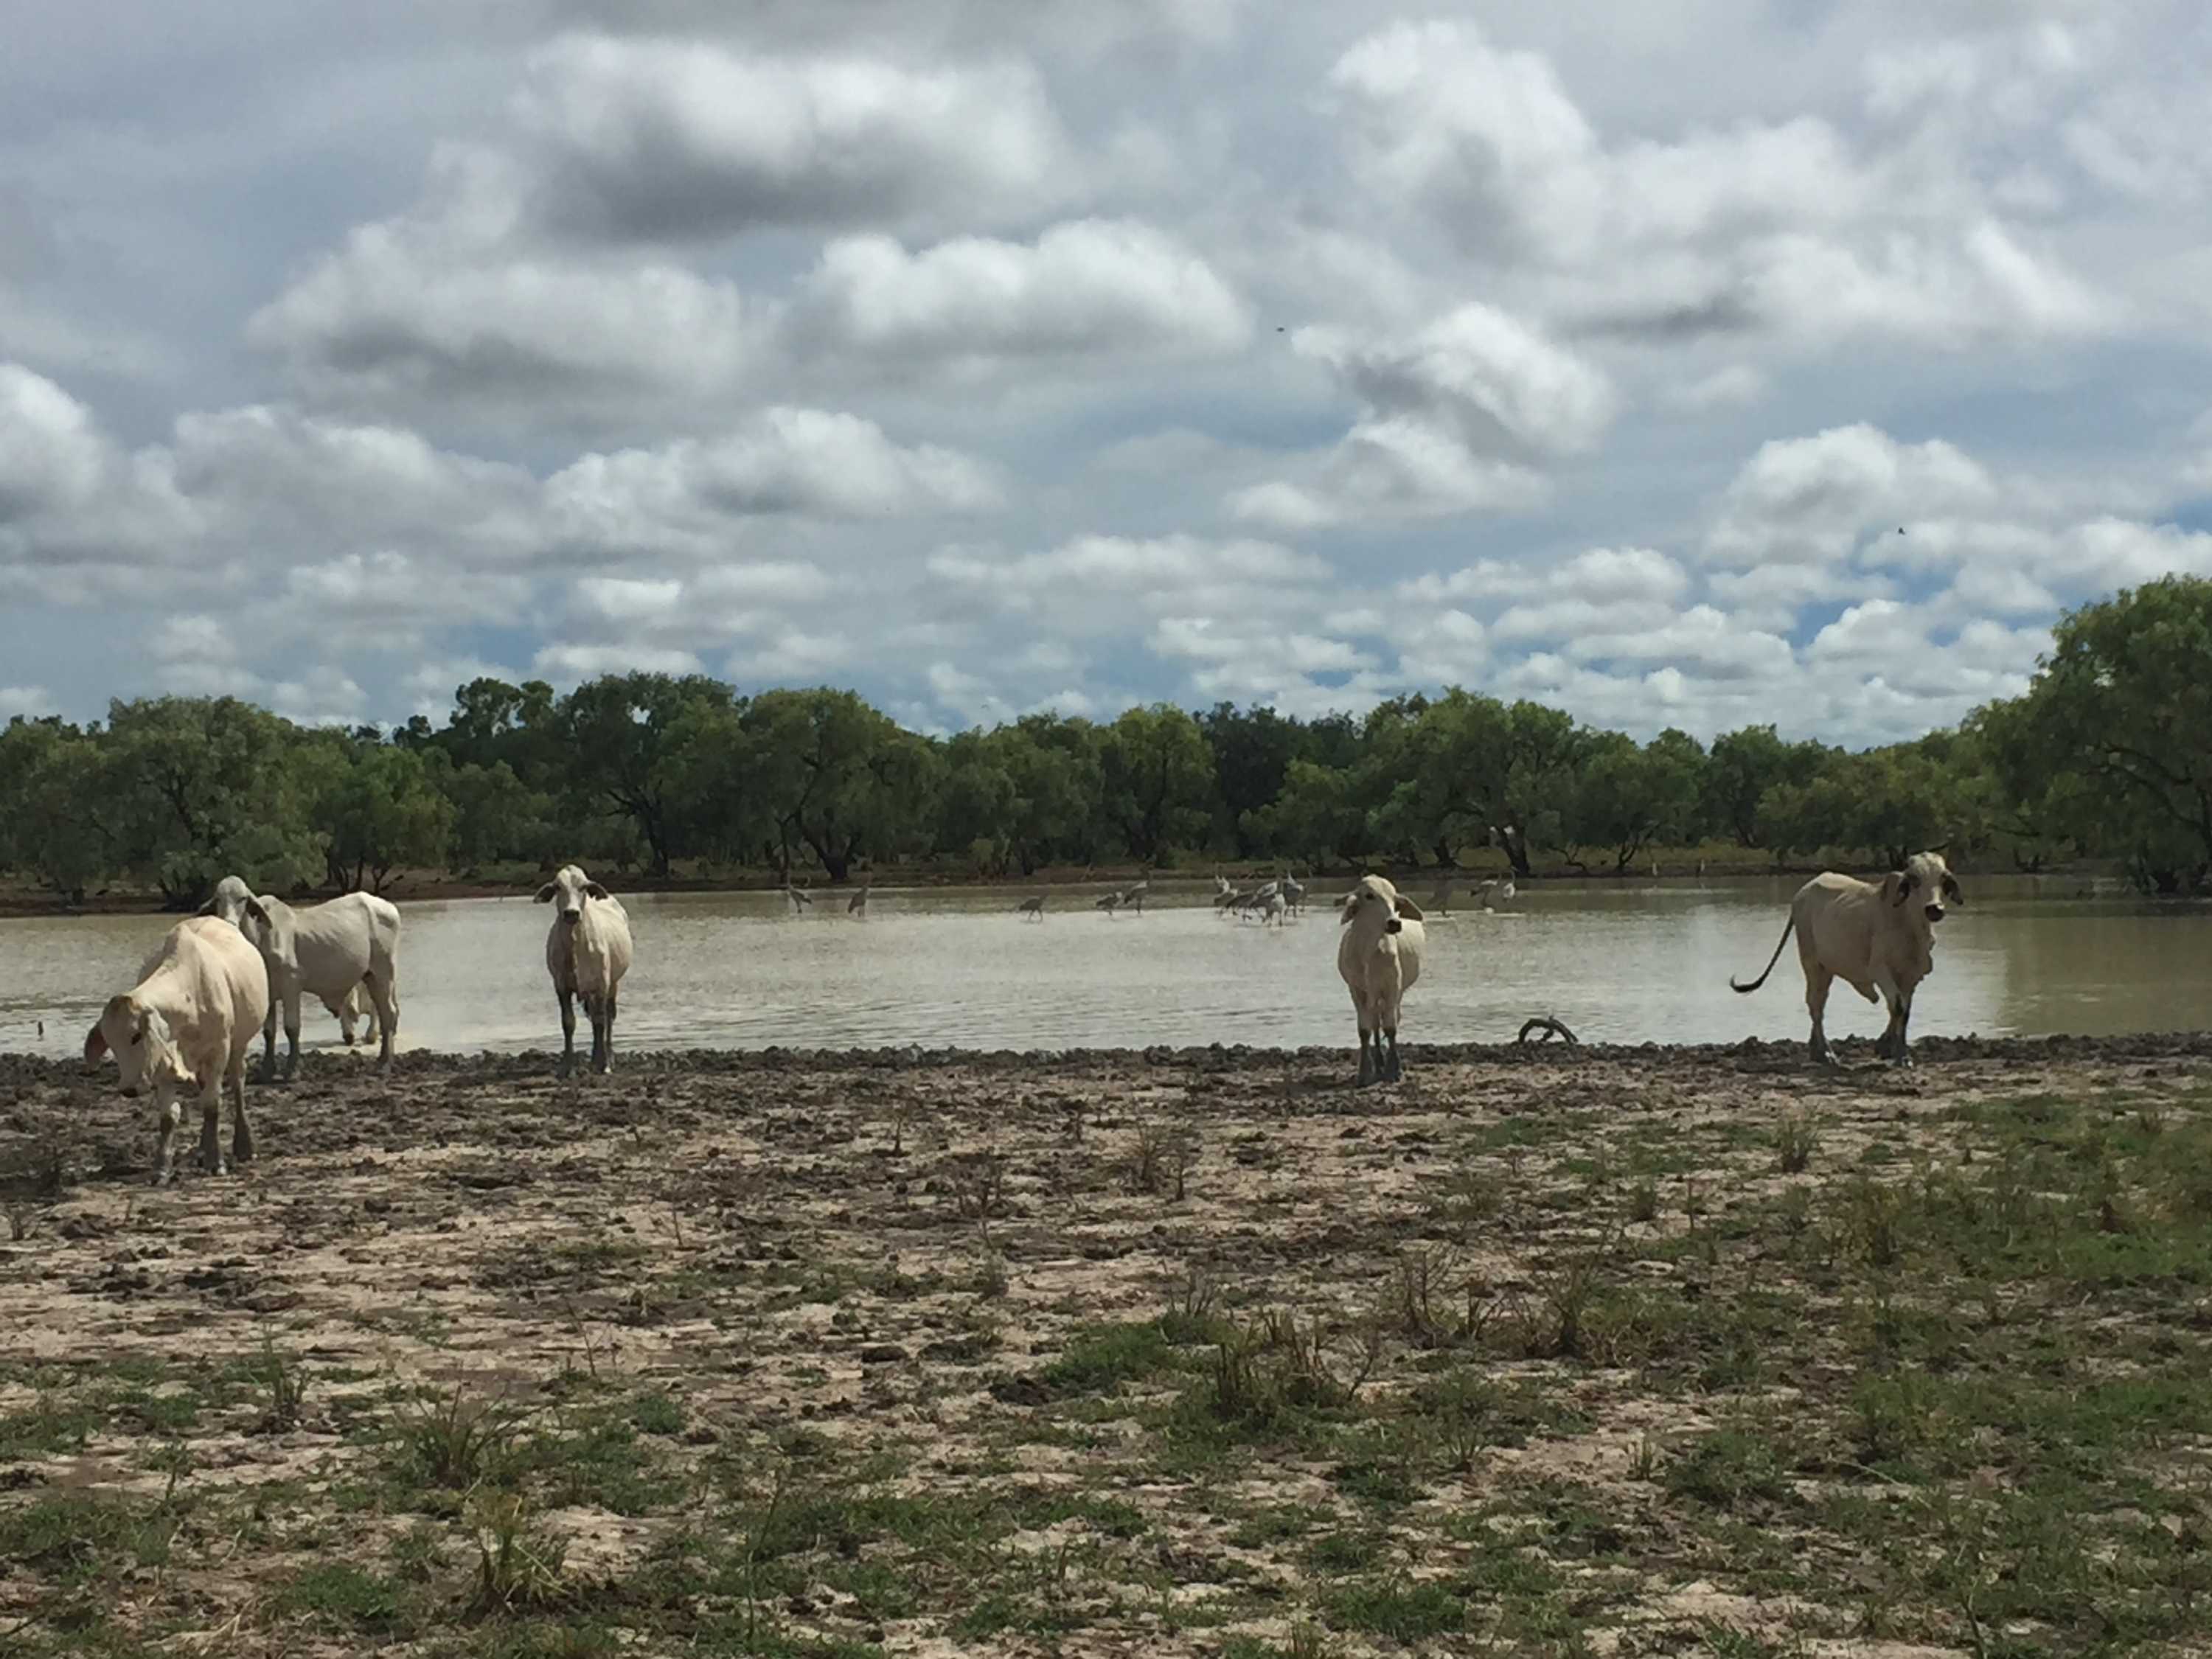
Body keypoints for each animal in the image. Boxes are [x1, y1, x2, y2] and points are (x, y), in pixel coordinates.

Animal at [83, 915, 272, 1183]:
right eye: (112, 1044)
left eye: (136, 1036)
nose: (129, 1089)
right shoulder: (162, 1063)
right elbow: (168, 1116)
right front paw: (162, 1168)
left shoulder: (218, 1052)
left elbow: (212, 1106)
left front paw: (217, 1162)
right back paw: (202, 1151)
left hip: (238, 1047)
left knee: (238, 1087)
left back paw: (244, 1146)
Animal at [537, 863, 633, 1076]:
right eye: (558, 887)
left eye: (583, 887)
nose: (571, 913)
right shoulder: (561, 986)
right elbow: (568, 1022)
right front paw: (567, 1067)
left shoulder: (602, 984)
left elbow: (600, 1021)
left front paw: (603, 1064)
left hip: (614, 983)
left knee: (608, 1017)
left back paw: (608, 1057)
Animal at [1337, 873, 1426, 1086]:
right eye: (1369, 895)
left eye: (1394, 899)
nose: (1394, 923)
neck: (1370, 952)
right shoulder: (1357, 991)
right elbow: (1365, 1030)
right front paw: (1365, 1072)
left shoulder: (1392, 987)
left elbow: (1391, 1027)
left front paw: (1394, 1071)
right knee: (1376, 1024)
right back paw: (1378, 1066)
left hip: (1395, 993)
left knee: (1390, 1019)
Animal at [1731, 851, 1965, 1066]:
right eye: (1914, 880)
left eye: (1943, 879)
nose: (1935, 909)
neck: (1908, 925)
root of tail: (1802, 893)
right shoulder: (1880, 970)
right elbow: (1897, 1006)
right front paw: (1896, 1054)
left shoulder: (1911, 976)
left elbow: (1904, 1012)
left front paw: (1896, 1052)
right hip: (1812, 963)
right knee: (1815, 1004)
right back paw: (1826, 1053)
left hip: (1827, 969)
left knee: (1819, 1002)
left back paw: (1816, 1051)